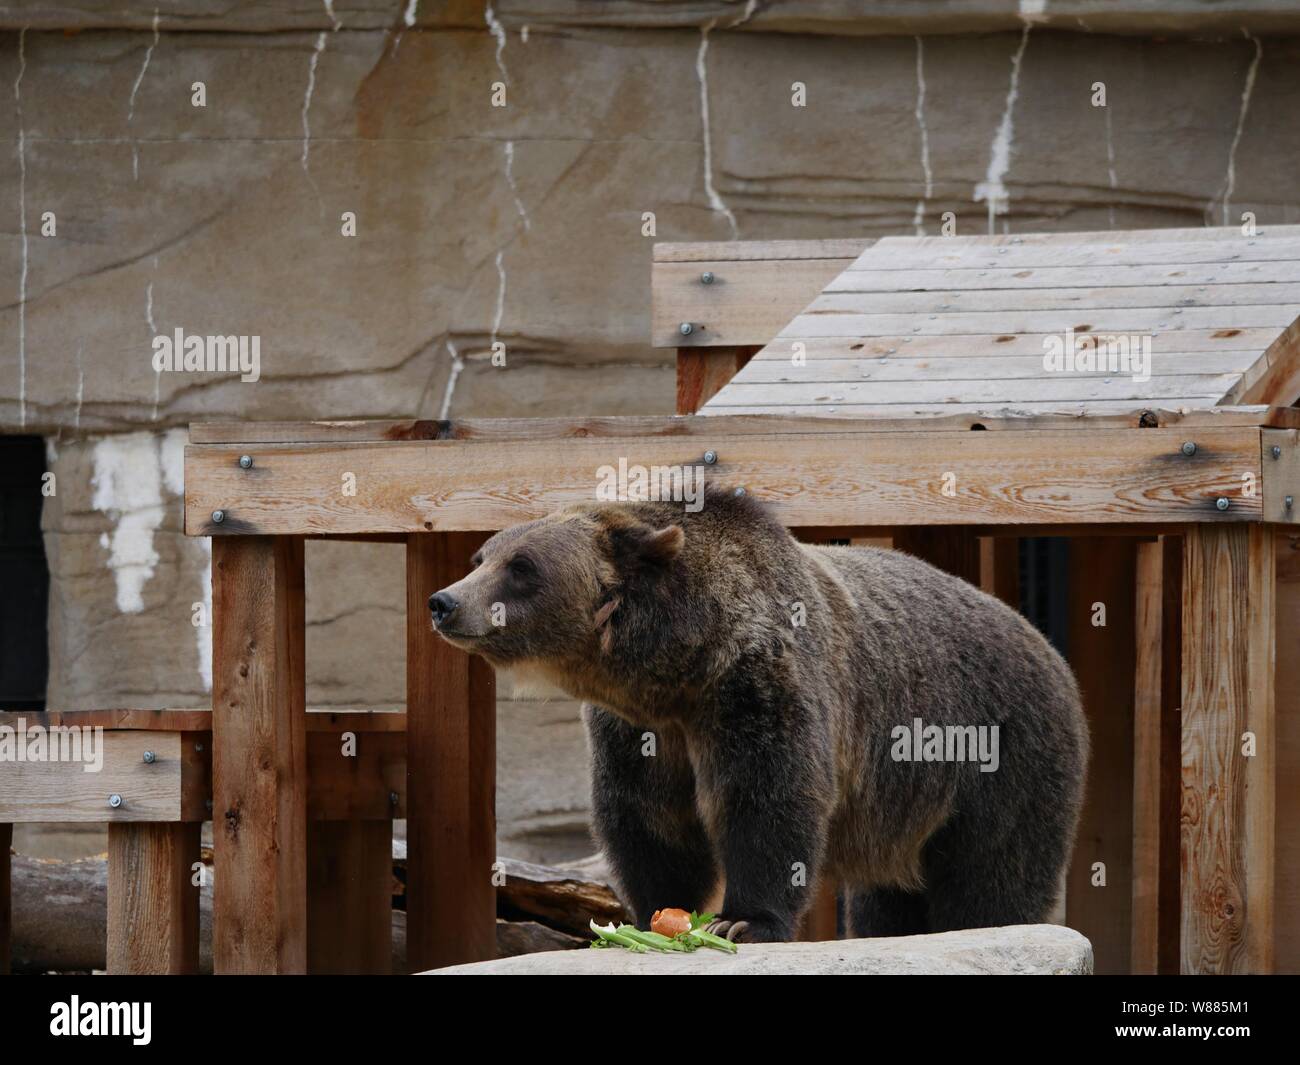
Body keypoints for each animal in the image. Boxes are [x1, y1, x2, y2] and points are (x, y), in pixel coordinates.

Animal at [428, 485, 1088, 943]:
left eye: (522, 566)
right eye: (482, 556)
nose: (445, 601)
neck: (679, 668)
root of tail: (1050, 649)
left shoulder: (756, 686)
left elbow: (768, 799)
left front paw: (741, 922)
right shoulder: (643, 730)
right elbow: (647, 818)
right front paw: (653, 916)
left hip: (996, 747)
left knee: (995, 869)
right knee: (887, 895)